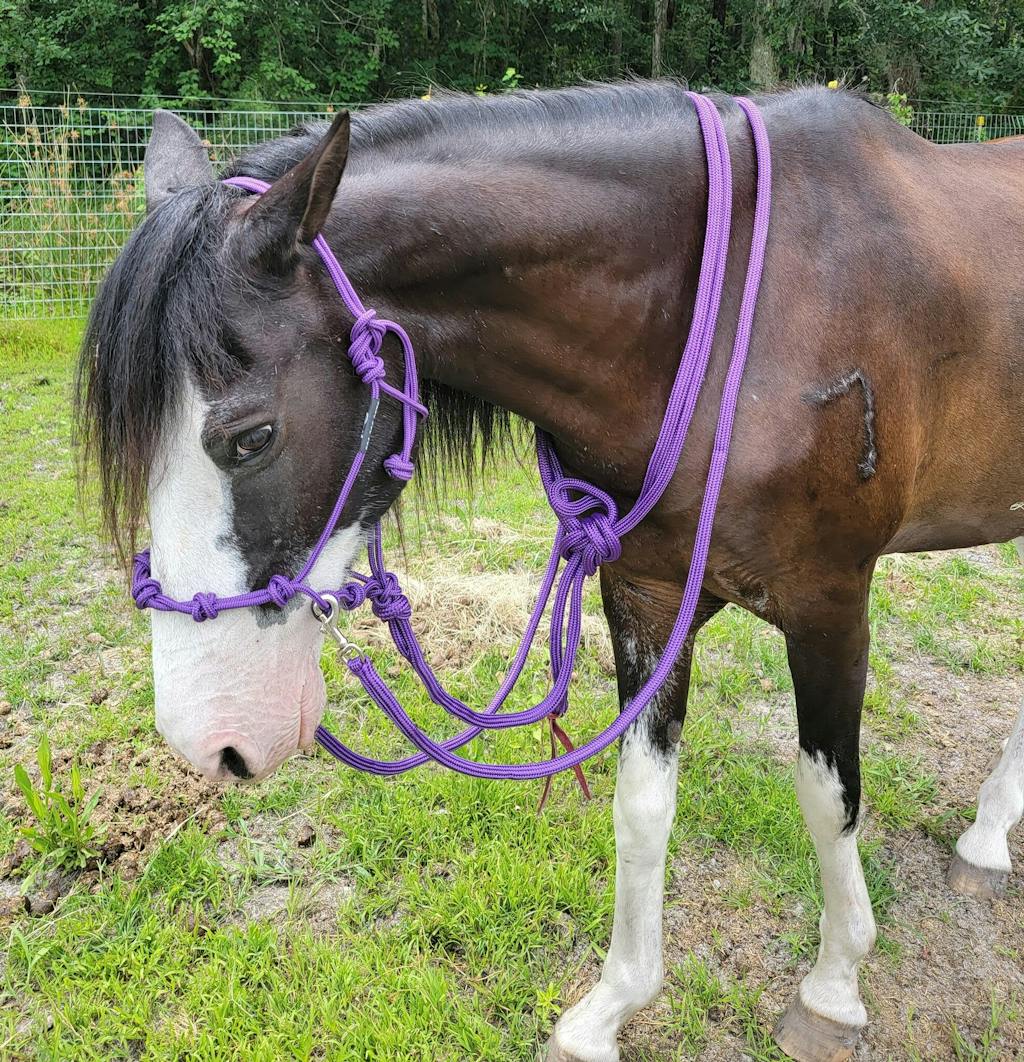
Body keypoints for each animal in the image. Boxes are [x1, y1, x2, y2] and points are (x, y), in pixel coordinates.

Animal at [76, 82, 1024, 1062]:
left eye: (251, 435)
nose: (206, 742)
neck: (736, 315)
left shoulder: (831, 607)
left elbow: (829, 799)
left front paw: (835, 988)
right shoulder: (647, 594)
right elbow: (641, 808)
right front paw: (611, 1007)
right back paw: (988, 834)